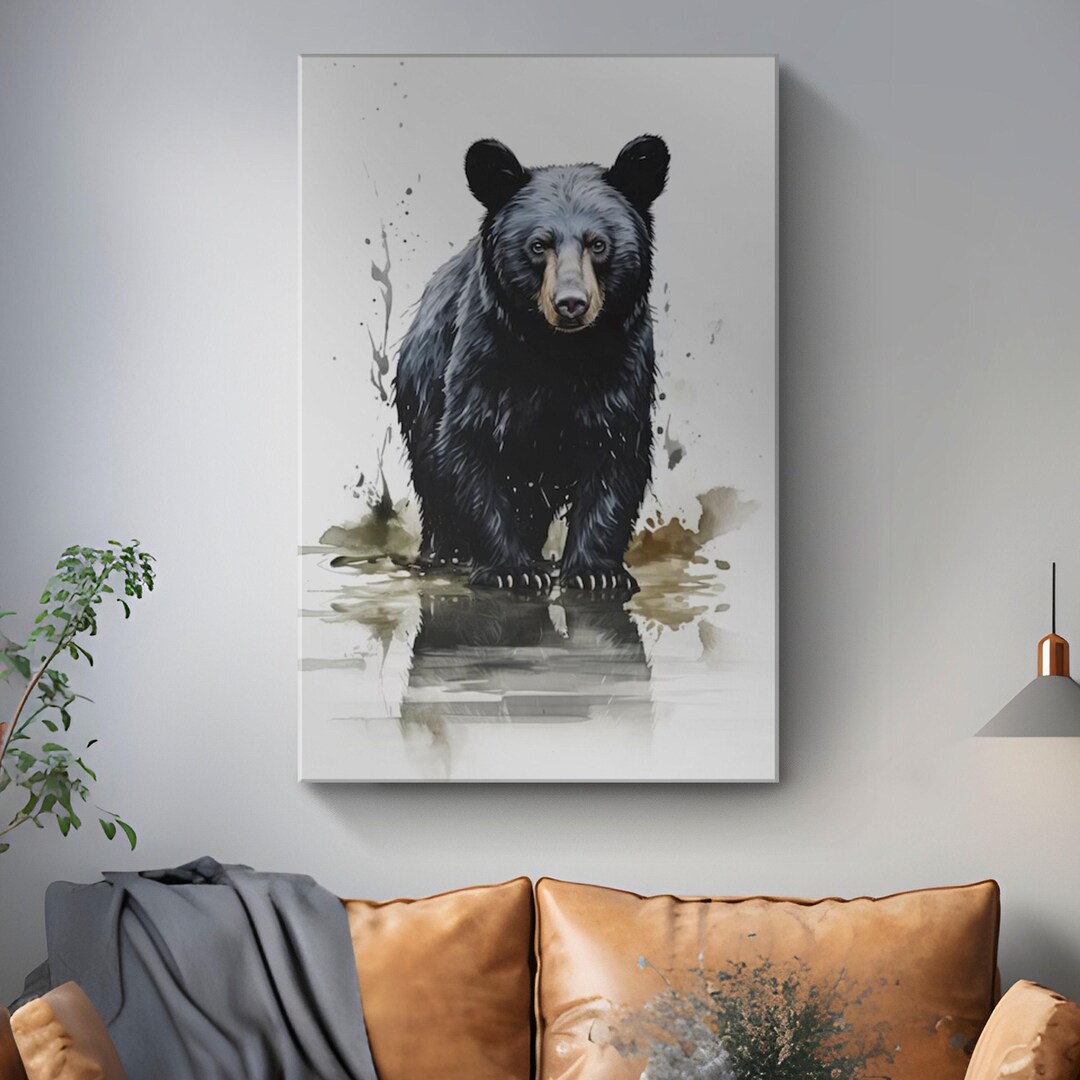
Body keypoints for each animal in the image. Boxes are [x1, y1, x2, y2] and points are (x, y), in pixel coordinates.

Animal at [393, 134, 669, 593]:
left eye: (598, 243)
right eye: (539, 245)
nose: (571, 303)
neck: (558, 353)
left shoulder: (624, 365)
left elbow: (617, 455)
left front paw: (597, 573)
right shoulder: (484, 358)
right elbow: (468, 447)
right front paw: (508, 569)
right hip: (420, 387)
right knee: (433, 481)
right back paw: (445, 554)